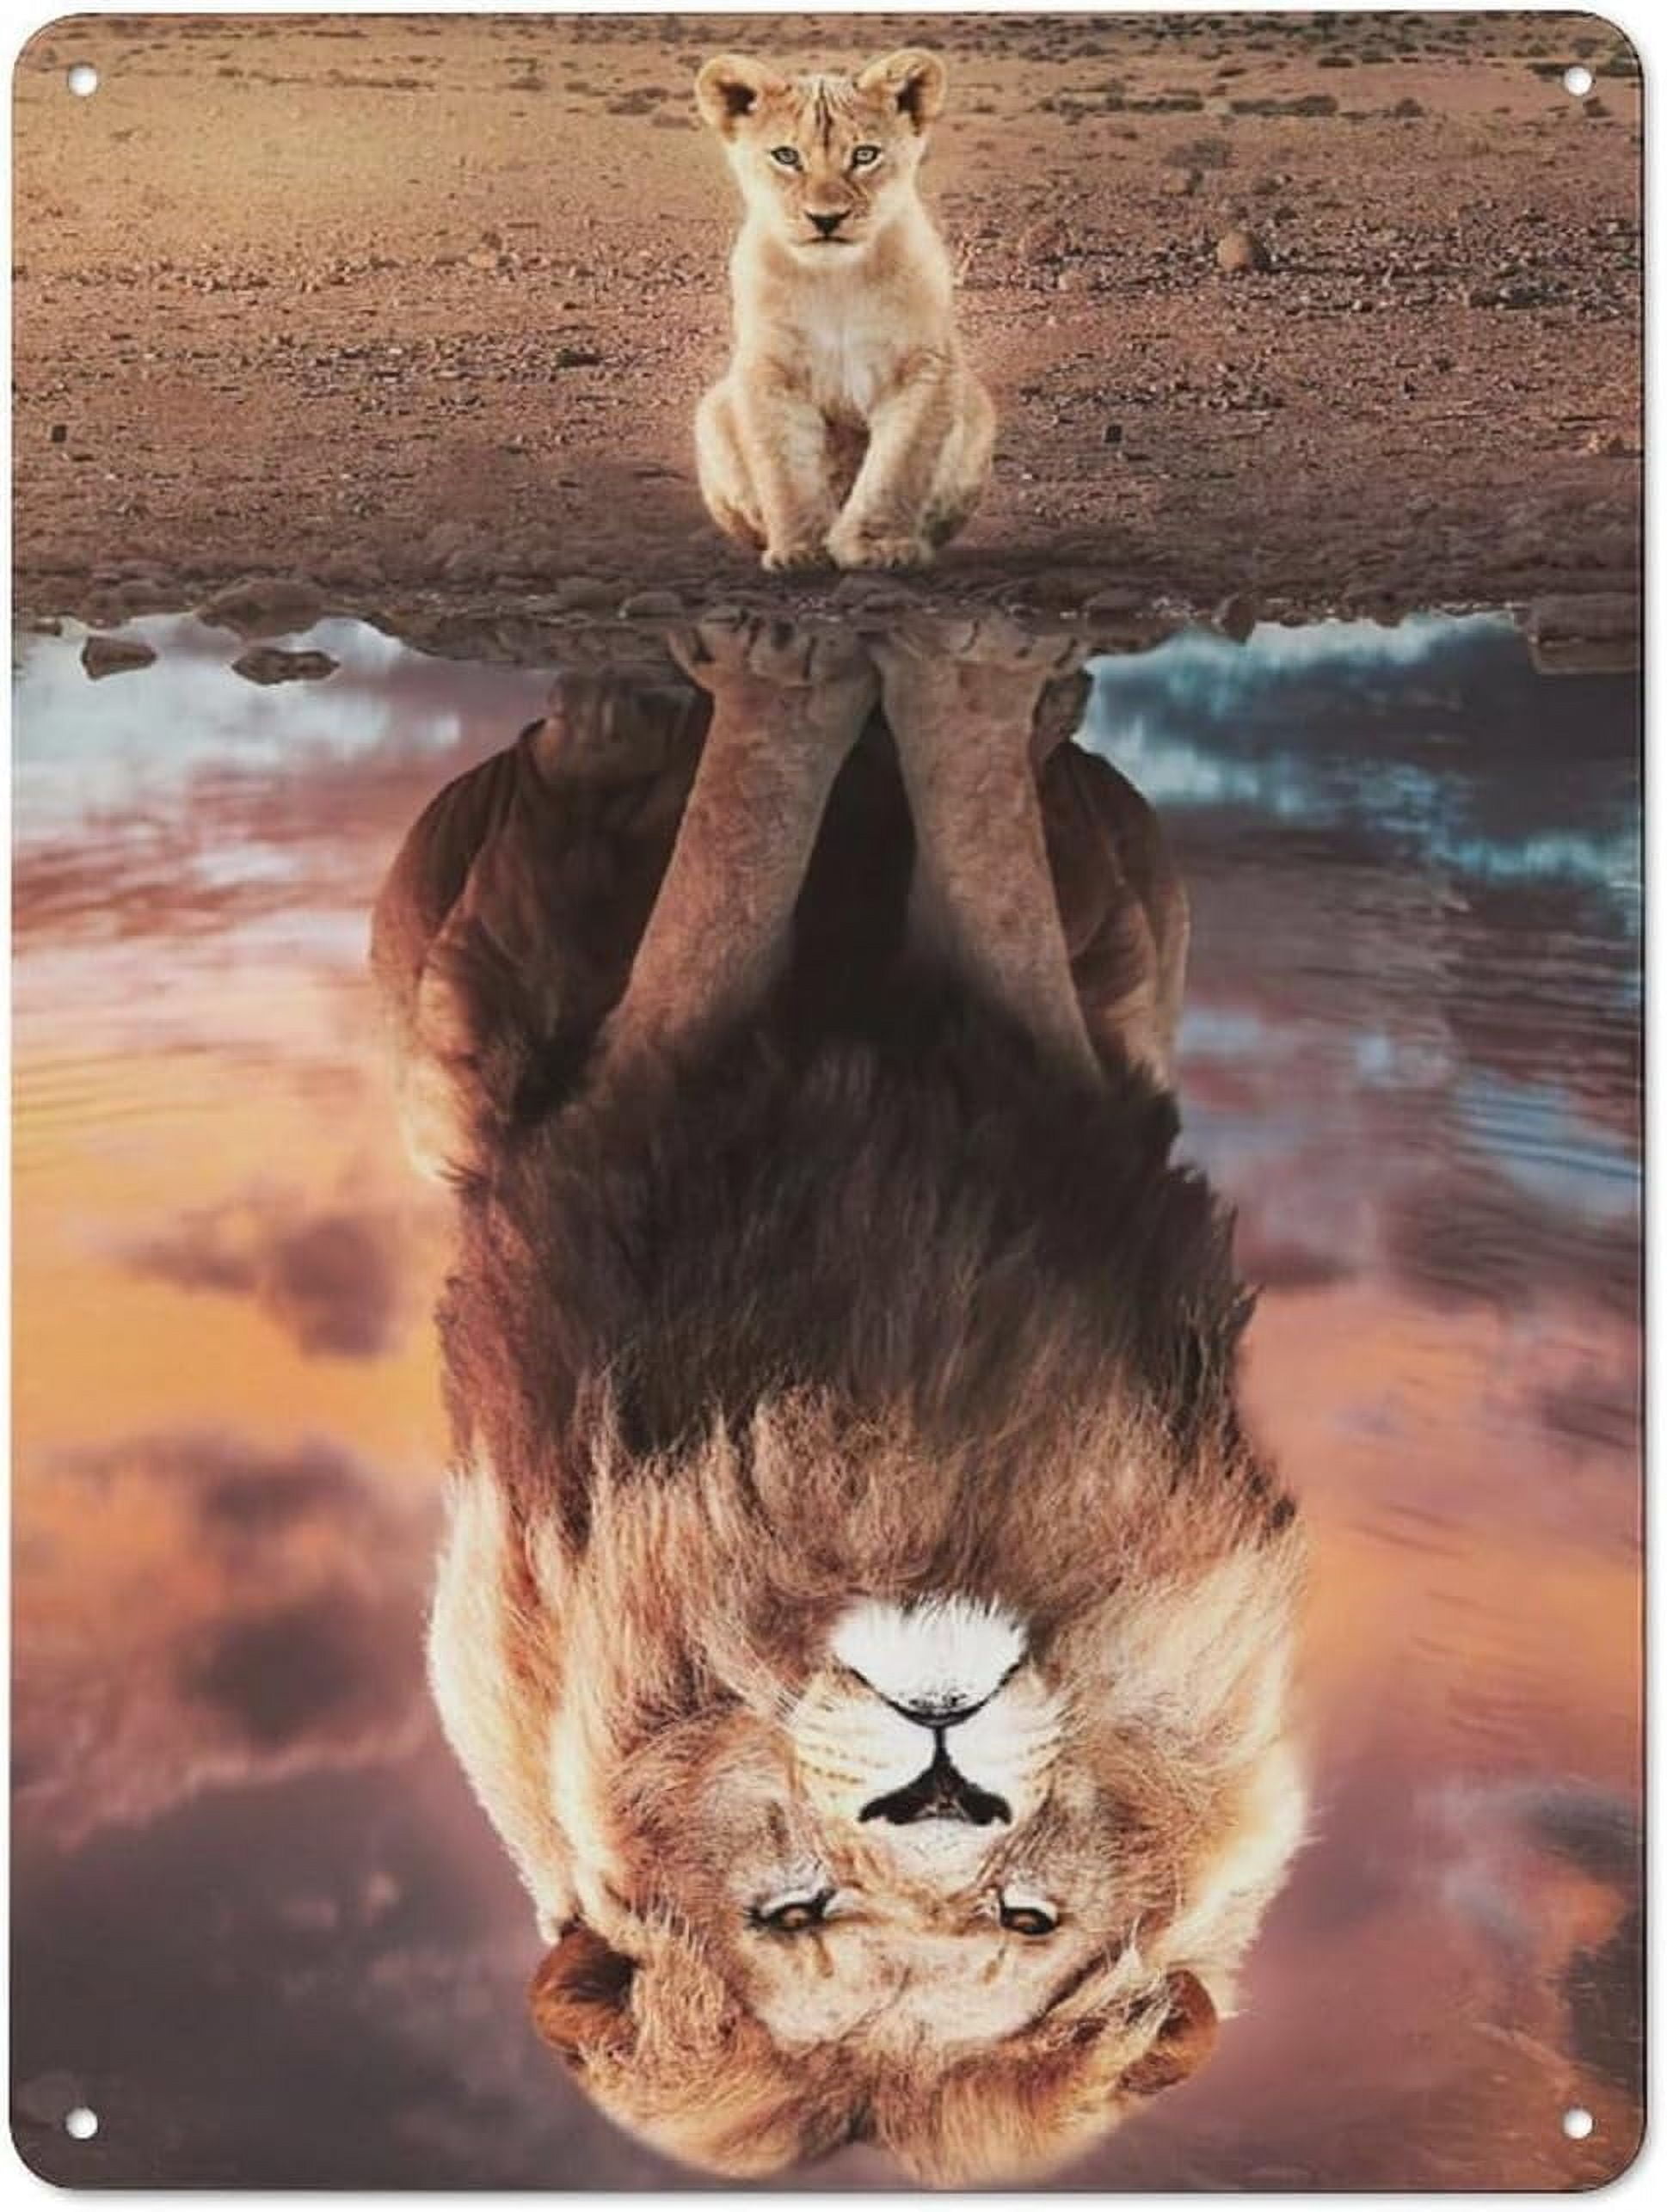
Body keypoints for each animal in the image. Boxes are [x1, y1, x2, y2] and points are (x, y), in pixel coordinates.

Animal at [370, 615, 1307, 2186]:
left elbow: (963, 863)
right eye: (793, 1910)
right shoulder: (633, 1090)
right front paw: (803, 669)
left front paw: (950, 679)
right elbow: (740, 861)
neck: (890, 1480)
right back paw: (619, 720)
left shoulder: (1062, 1075)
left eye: (1024, 1917)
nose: (939, 1774)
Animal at [692, 49, 995, 572]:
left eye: (865, 155)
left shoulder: (924, 365)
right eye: (786, 156)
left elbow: (897, 466)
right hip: (711, 412)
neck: (835, 280)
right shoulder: (770, 369)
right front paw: (802, 550)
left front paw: (879, 546)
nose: (826, 219)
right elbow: (784, 470)